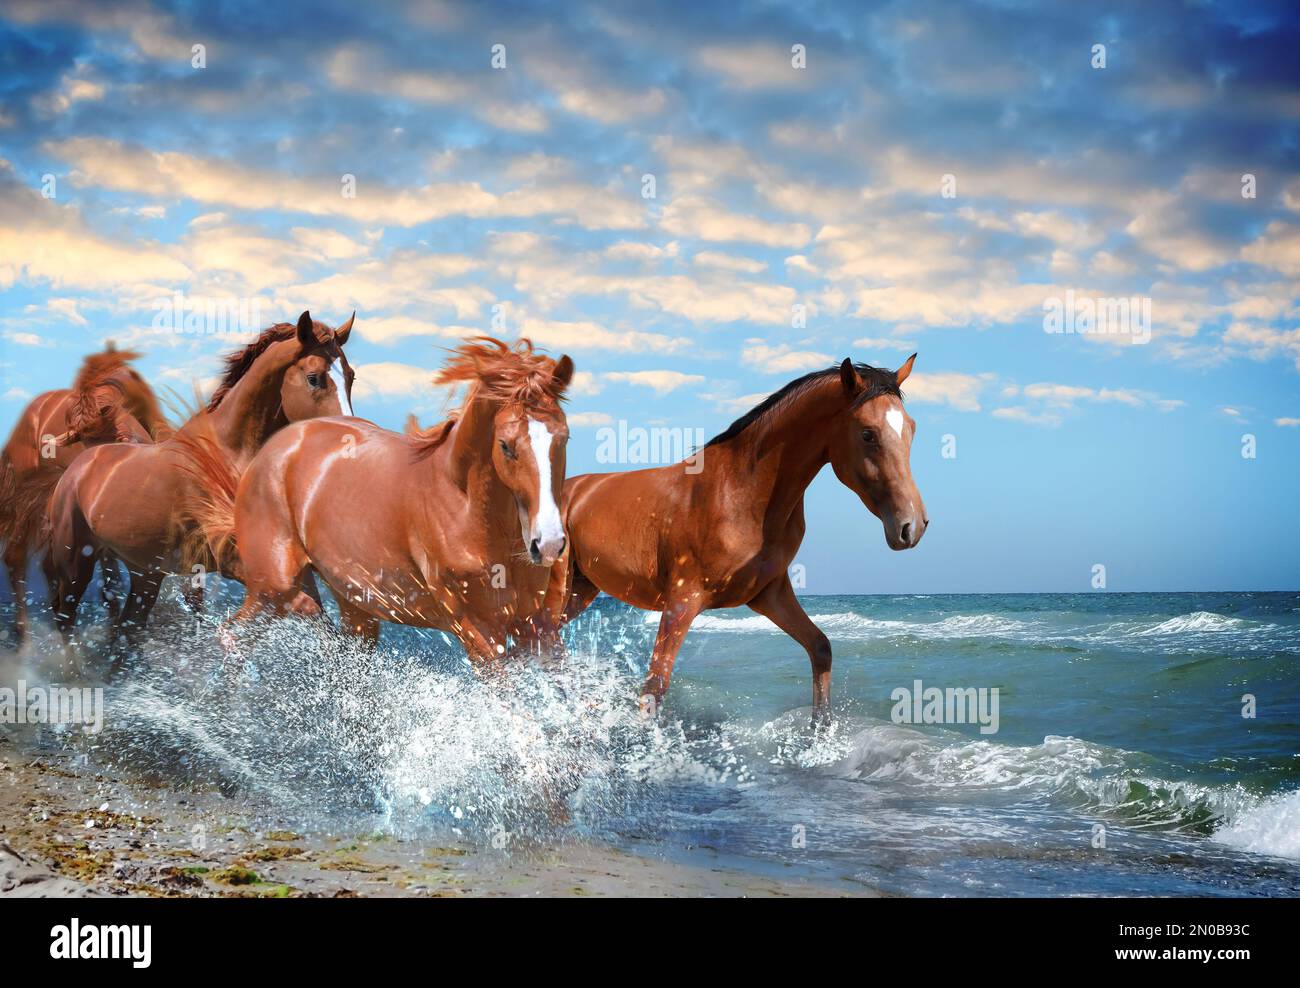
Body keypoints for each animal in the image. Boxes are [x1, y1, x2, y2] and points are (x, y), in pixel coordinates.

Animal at [0, 344, 169, 645]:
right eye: (90, 446)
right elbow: (113, 582)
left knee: (47, 566)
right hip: (27, 501)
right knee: (15, 558)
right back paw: (24, 637)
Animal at [44, 311, 356, 658]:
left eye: (351, 376)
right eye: (314, 377)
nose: (348, 440)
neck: (228, 457)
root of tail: (85, 460)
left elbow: (322, 620)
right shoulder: (233, 560)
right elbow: (301, 608)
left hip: (145, 573)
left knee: (128, 629)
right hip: (75, 561)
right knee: (65, 618)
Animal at [229, 337, 573, 661]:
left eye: (564, 438)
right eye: (505, 445)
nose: (549, 543)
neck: (465, 511)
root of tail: (278, 445)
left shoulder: (536, 626)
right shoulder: (480, 631)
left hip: (354, 605)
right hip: (272, 587)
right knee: (231, 635)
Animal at [550, 355, 927, 720]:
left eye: (911, 428)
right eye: (867, 434)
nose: (912, 526)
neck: (740, 491)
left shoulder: (770, 594)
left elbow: (821, 648)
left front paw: (818, 735)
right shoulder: (682, 600)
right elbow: (654, 689)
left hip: (581, 590)